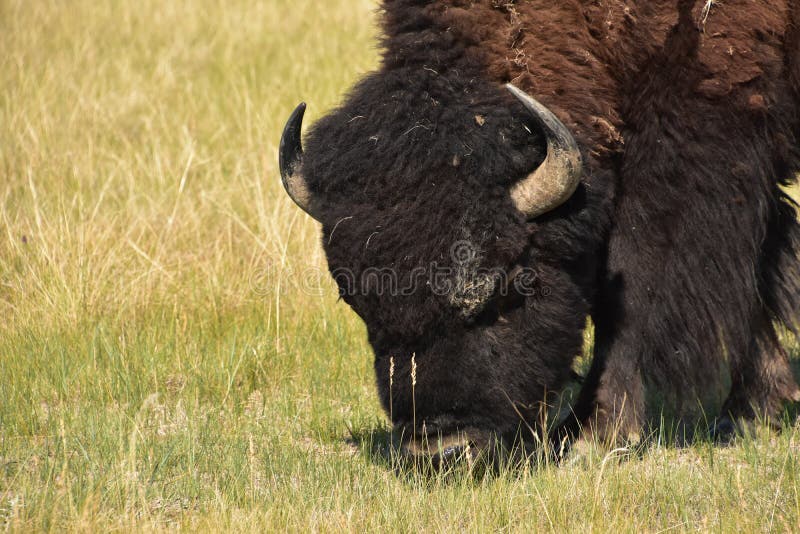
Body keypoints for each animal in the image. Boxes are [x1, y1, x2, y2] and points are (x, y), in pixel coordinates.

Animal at [279, 1, 800, 463]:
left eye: (503, 290)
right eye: (357, 303)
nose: (441, 449)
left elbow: (637, 284)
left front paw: (592, 434)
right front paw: (757, 409)